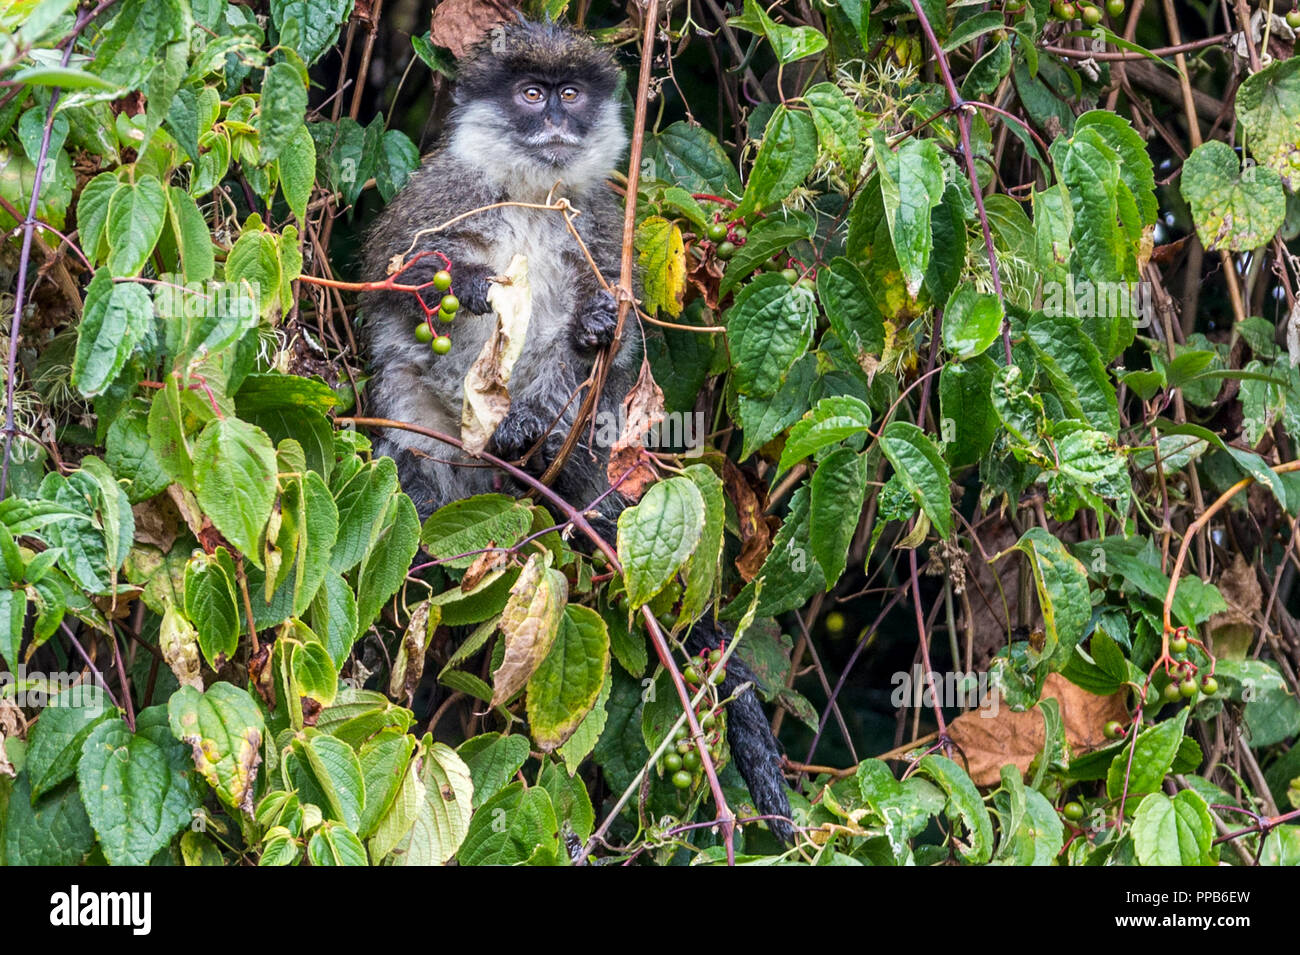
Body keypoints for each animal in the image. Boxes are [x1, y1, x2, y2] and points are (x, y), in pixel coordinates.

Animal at [359, 18, 795, 846]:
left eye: (569, 94)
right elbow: (391, 275)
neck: (533, 197)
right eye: (530, 94)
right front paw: (465, 284)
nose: (556, 123)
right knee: (408, 432)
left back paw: (530, 444)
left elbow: (618, 355)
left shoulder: (595, 224)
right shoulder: (443, 195)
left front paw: (590, 337)